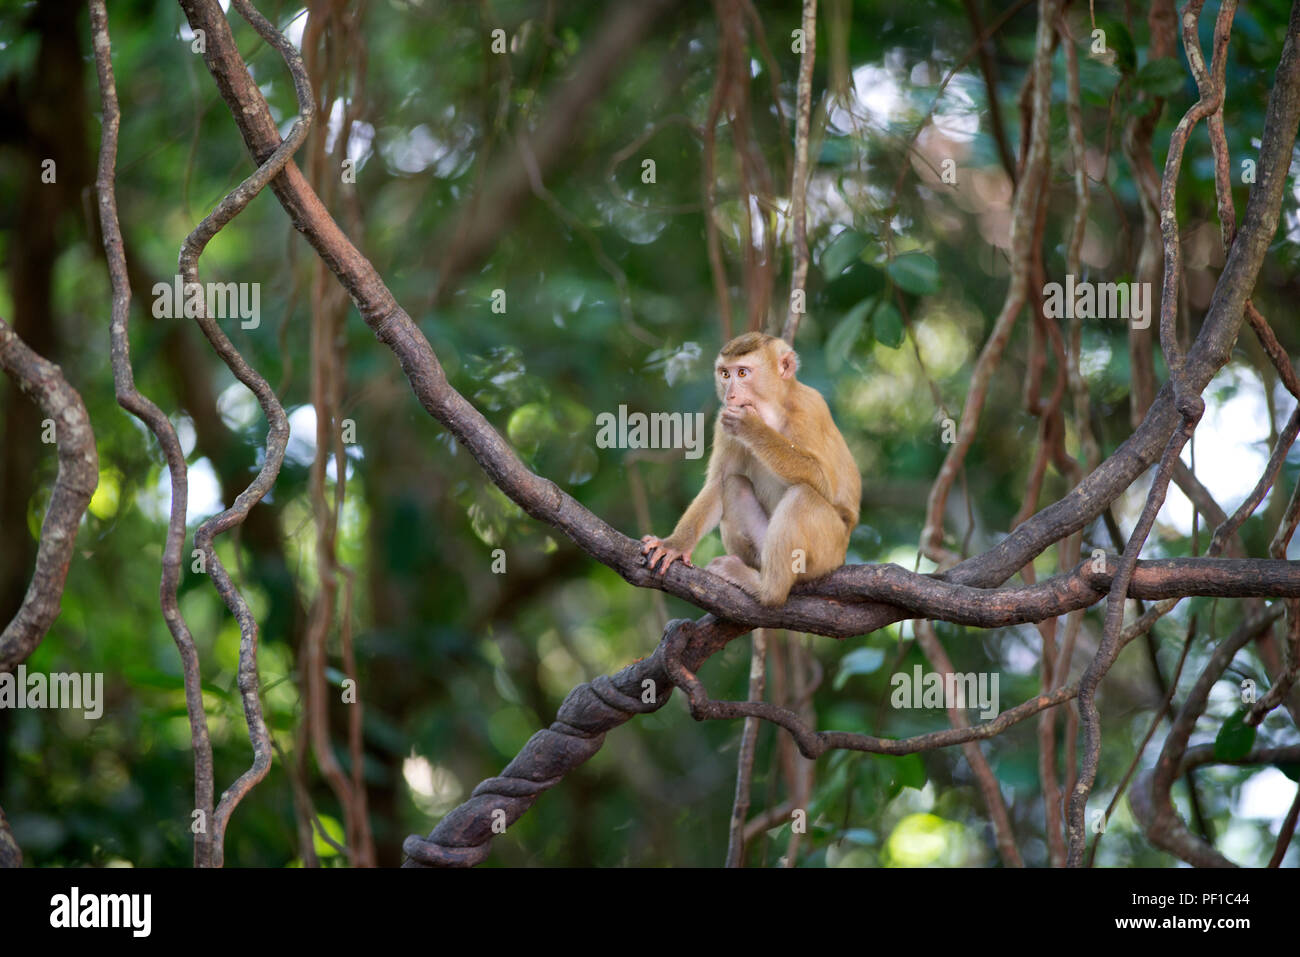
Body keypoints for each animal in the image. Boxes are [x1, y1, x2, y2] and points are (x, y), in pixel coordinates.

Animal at [640, 332, 860, 606]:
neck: (774, 412)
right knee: (734, 485)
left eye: (743, 373)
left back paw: (767, 590)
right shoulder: (722, 421)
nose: (730, 395)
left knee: (803, 496)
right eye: (725, 374)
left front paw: (752, 428)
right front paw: (675, 545)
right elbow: (719, 481)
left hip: (828, 552)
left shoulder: (811, 409)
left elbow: (824, 481)